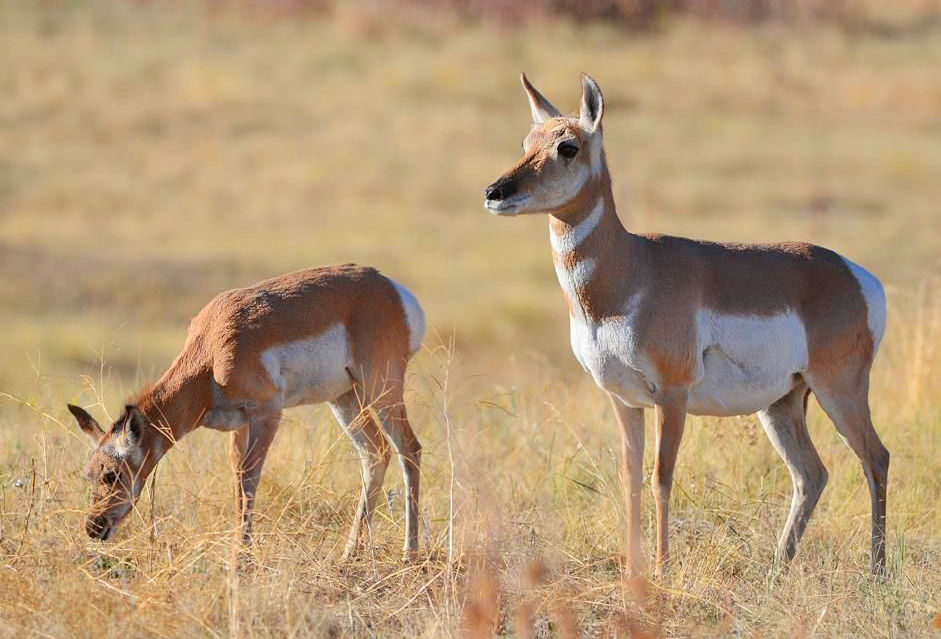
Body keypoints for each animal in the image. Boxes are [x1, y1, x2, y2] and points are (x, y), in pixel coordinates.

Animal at [67, 264, 425, 560]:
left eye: (112, 474)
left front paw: (243, 555)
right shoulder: (238, 426)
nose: (93, 527)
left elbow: (250, 479)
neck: (211, 351)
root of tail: (391, 287)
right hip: (345, 399)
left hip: (381, 390)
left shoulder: (267, 414)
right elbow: (238, 481)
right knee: (376, 452)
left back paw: (409, 553)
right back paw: (351, 552)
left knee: (409, 448)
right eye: (89, 474)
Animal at [484, 73, 889, 576]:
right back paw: (777, 567)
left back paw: (876, 571)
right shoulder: (623, 400)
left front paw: (660, 569)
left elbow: (662, 475)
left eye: (568, 146)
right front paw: (633, 570)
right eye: (526, 142)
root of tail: (855, 275)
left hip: (839, 390)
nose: (495, 193)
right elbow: (630, 477)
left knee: (875, 458)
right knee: (811, 473)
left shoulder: (671, 395)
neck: (632, 268)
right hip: (782, 404)